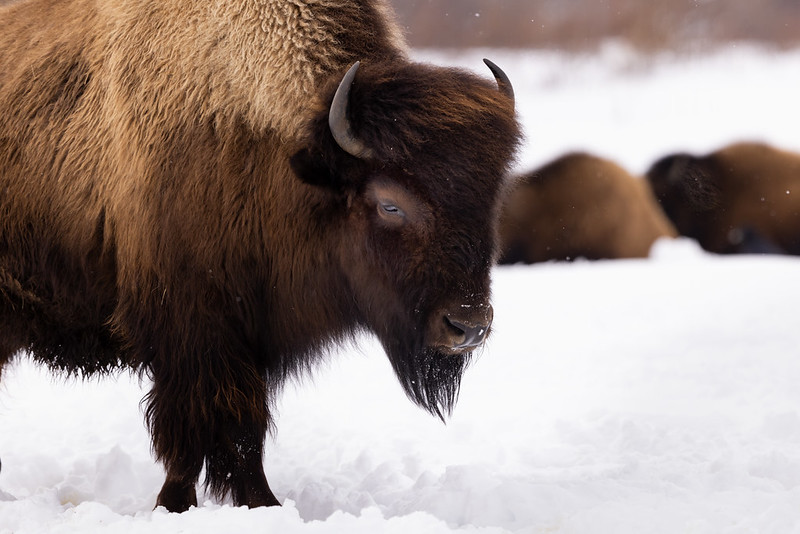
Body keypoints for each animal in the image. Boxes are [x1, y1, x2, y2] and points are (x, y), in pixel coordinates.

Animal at [0, 0, 521, 512]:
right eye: (390, 203)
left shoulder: (250, 337)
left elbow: (245, 429)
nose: (468, 327)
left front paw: (261, 503)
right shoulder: (191, 332)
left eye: (492, 197)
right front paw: (176, 505)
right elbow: (193, 428)